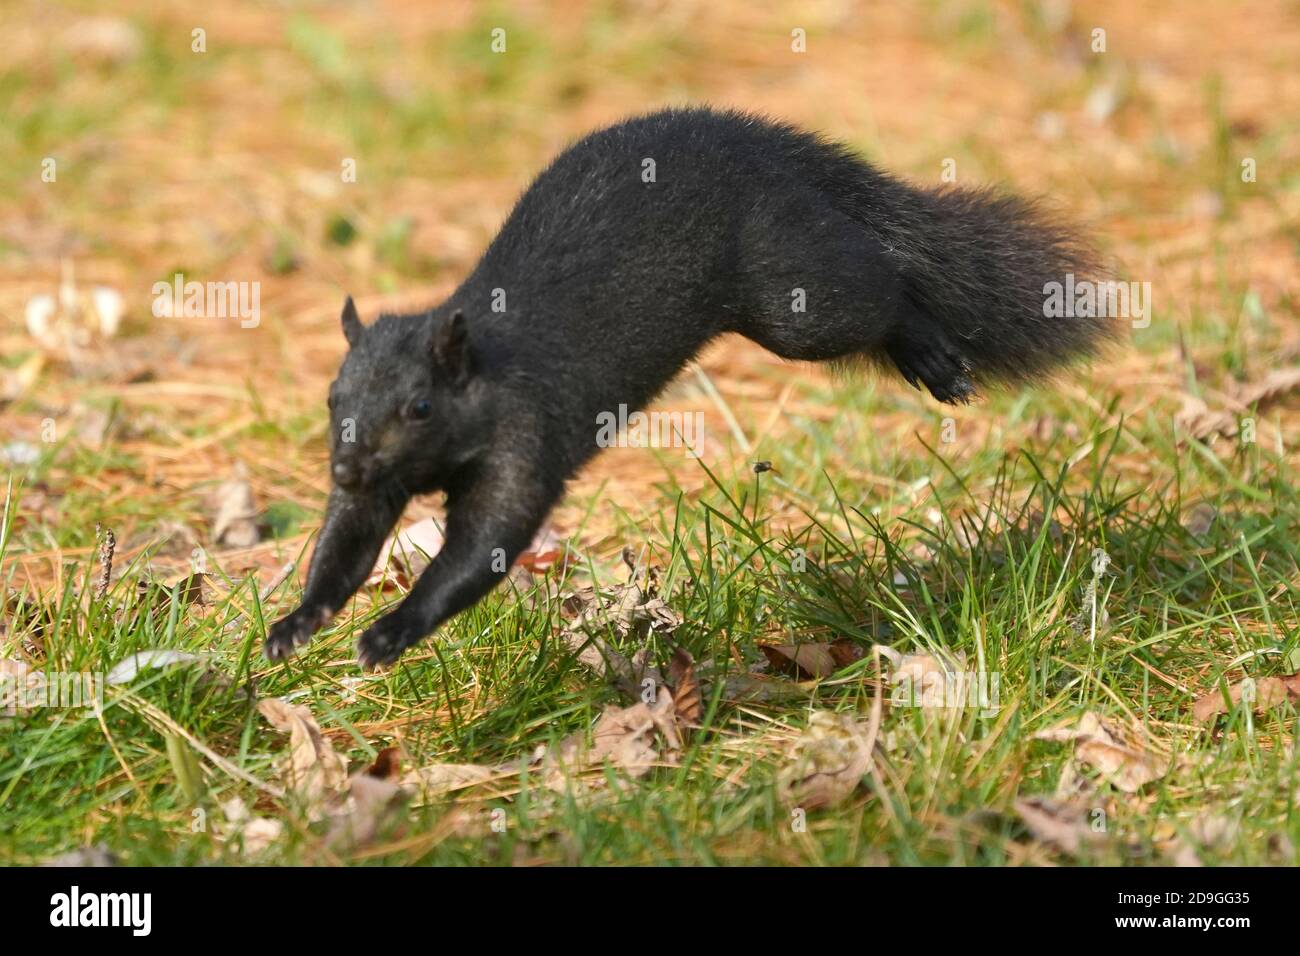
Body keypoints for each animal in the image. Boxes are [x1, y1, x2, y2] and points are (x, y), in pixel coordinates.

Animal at [264, 106, 1113, 668]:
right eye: (333, 398)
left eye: (421, 406)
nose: (343, 466)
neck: (486, 372)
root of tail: (761, 145)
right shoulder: (381, 485)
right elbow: (349, 542)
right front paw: (296, 623)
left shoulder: (526, 433)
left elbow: (486, 543)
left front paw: (391, 632)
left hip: (795, 297)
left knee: (887, 281)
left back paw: (931, 354)